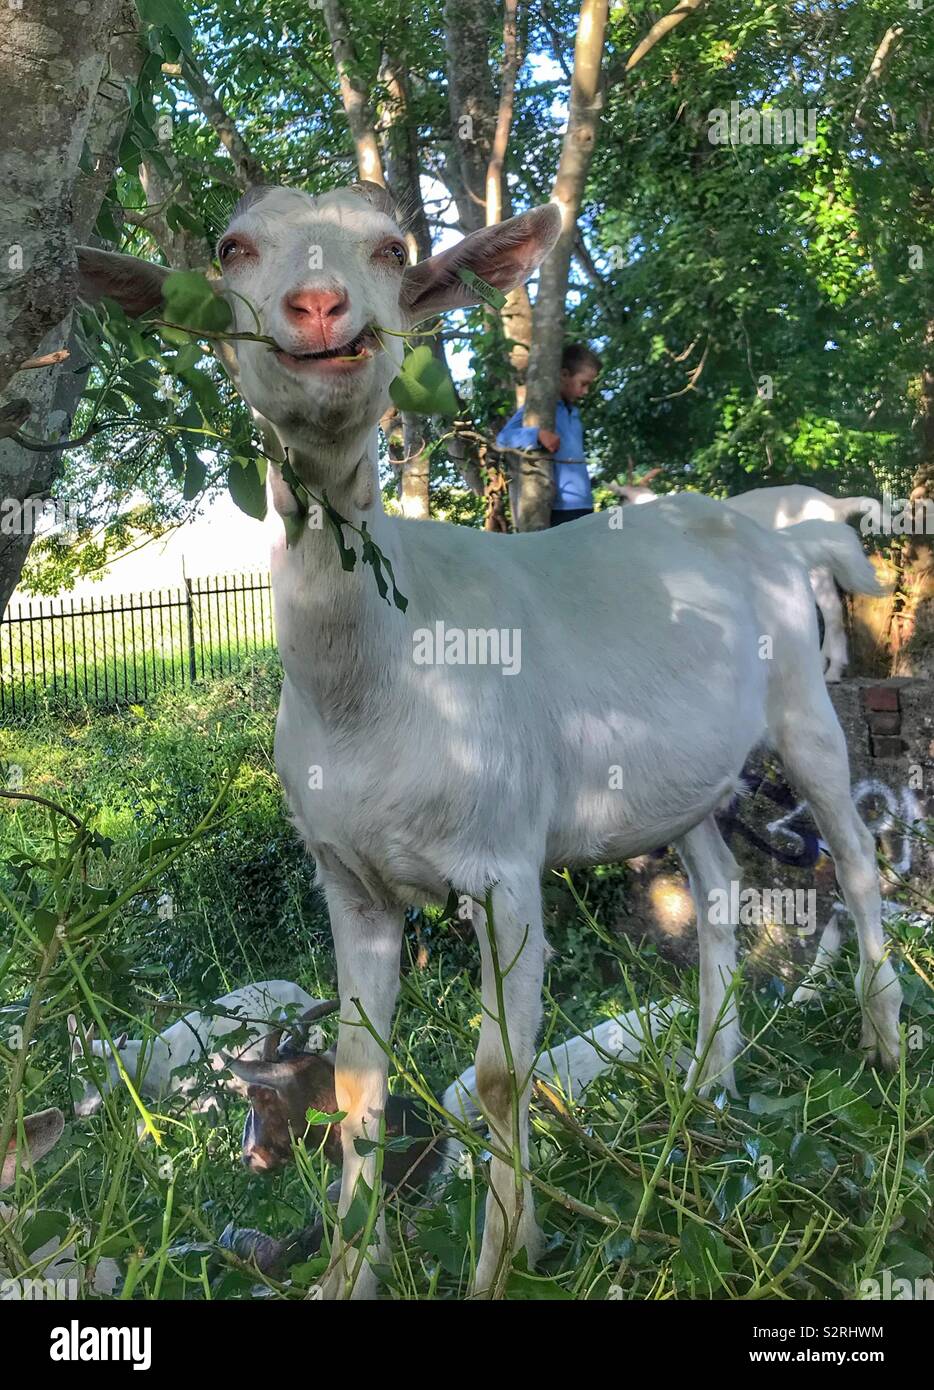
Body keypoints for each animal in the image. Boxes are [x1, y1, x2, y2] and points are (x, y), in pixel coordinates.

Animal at [71, 980, 323, 1117]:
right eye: (74, 1076)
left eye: (98, 1071)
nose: (80, 1112)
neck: (160, 1061)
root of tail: (308, 996)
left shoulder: (206, 1096)